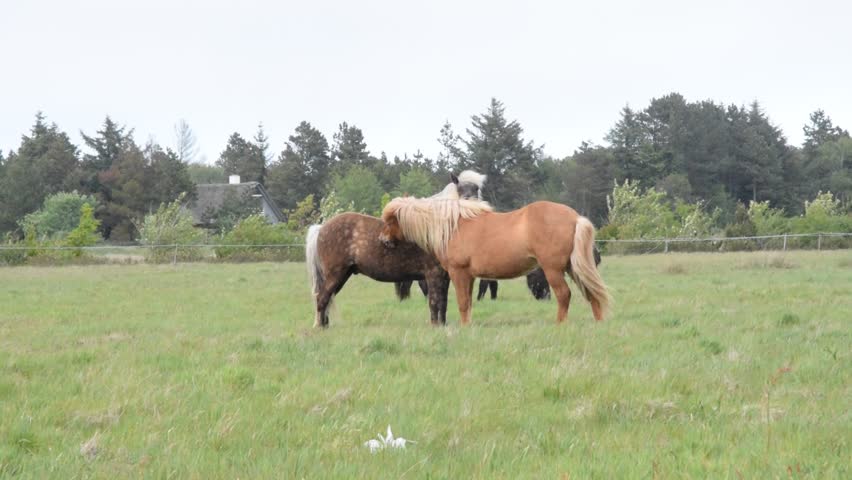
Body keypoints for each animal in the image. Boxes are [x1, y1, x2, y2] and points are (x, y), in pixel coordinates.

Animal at [379, 198, 611, 325]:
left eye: (390, 221)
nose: (382, 241)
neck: (453, 226)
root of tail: (575, 217)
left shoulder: (458, 272)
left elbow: (462, 303)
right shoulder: (470, 276)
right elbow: (469, 302)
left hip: (553, 269)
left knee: (564, 295)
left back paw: (559, 324)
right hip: (573, 267)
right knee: (592, 293)